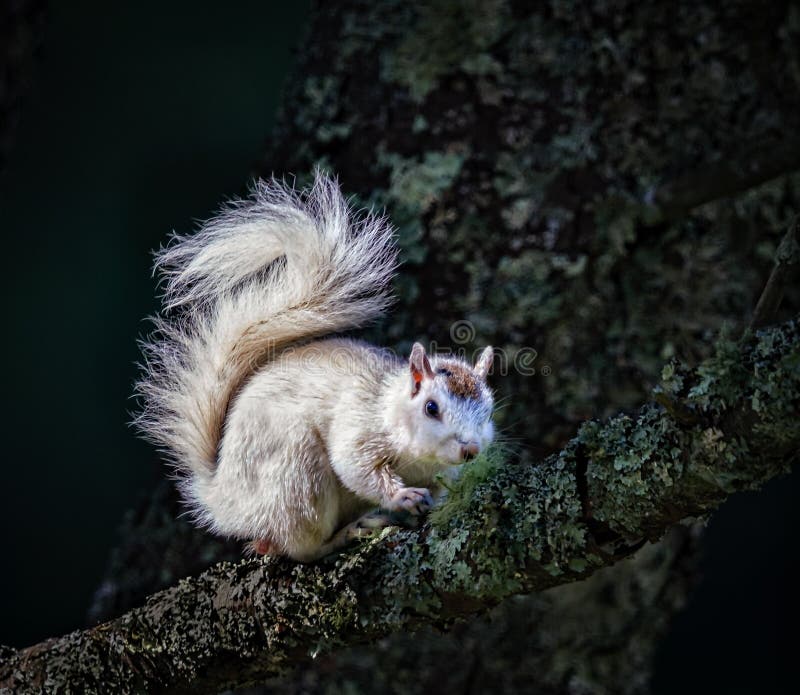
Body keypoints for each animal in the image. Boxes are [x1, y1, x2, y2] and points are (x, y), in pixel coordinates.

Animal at [135, 172, 495, 562]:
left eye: (488, 412)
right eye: (431, 408)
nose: (471, 450)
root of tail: (225, 501)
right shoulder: (358, 424)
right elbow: (357, 467)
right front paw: (401, 496)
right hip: (298, 475)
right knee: (299, 548)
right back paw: (347, 533)